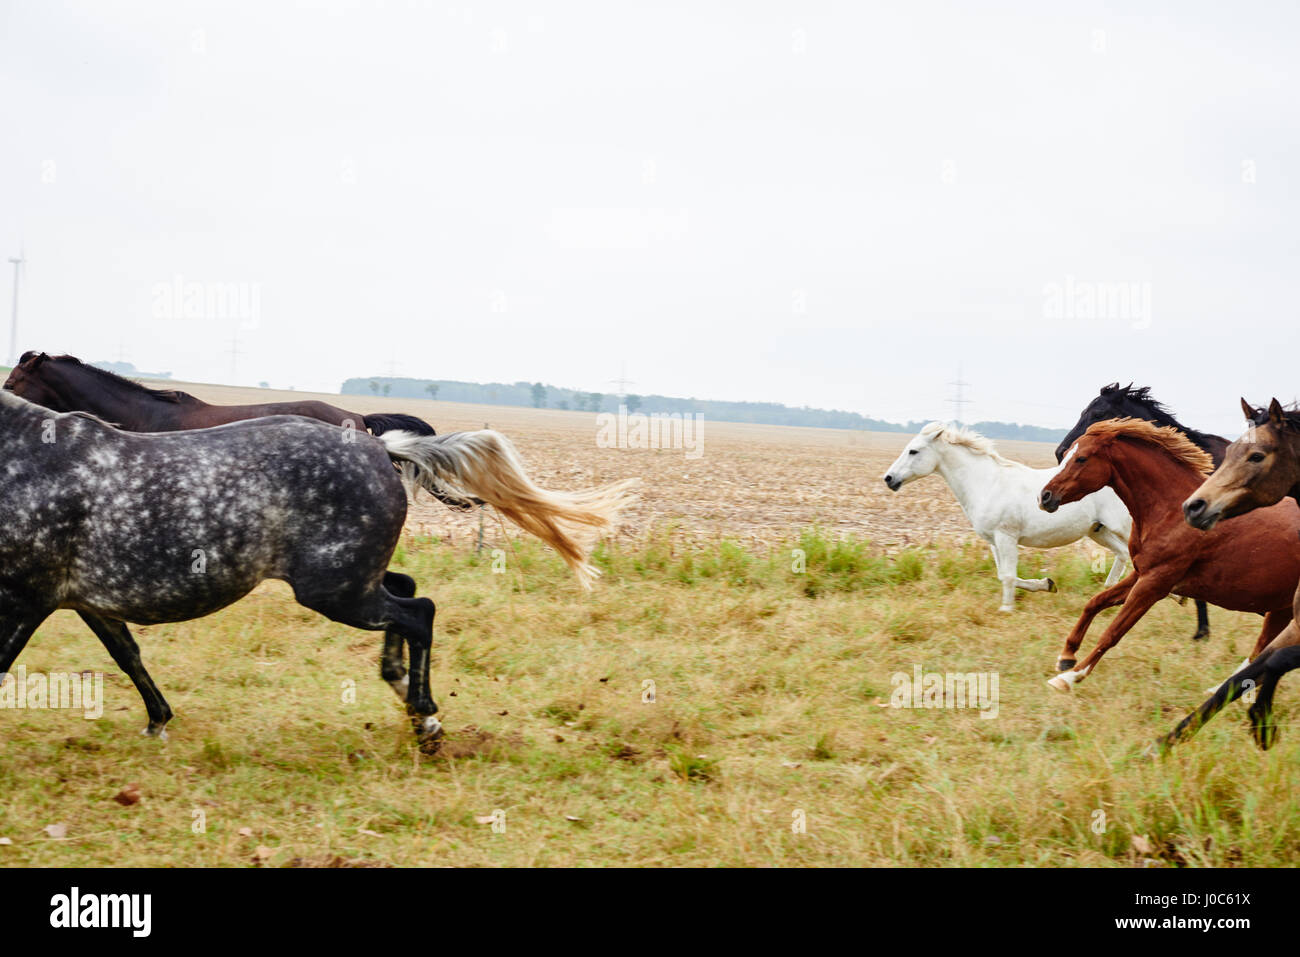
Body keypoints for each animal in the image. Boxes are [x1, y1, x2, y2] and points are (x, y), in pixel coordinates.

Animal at [0, 389, 636, 752]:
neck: (29, 458)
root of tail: (383, 448)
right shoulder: (83, 600)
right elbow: (128, 655)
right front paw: (158, 723)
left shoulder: (26, 598)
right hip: (352, 580)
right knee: (408, 595)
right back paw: (402, 689)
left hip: (335, 590)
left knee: (419, 612)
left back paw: (426, 722)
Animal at [882, 422, 1132, 611]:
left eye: (914, 451)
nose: (889, 479)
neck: (988, 484)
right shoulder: (994, 541)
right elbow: (1003, 575)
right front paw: (1047, 584)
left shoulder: (1007, 537)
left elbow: (1010, 576)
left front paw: (1006, 609)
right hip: (1098, 531)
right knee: (1123, 554)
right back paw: (1108, 593)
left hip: (1123, 527)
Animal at [1038, 418, 1300, 694]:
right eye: (1069, 454)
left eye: (1082, 458)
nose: (1045, 496)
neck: (1171, 512)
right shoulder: (1141, 574)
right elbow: (1094, 603)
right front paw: (1066, 657)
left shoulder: (1155, 584)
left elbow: (1113, 632)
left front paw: (1069, 677)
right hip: (1281, 608)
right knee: (1261, 651)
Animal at [1161, 399, 1300, 750]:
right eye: (1231, 450)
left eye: (1257, 456)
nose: (1193, 507)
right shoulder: (1295, 625)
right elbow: (1239, 679)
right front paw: (1163, 744)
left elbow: (1273, 663)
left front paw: (1262, 724)